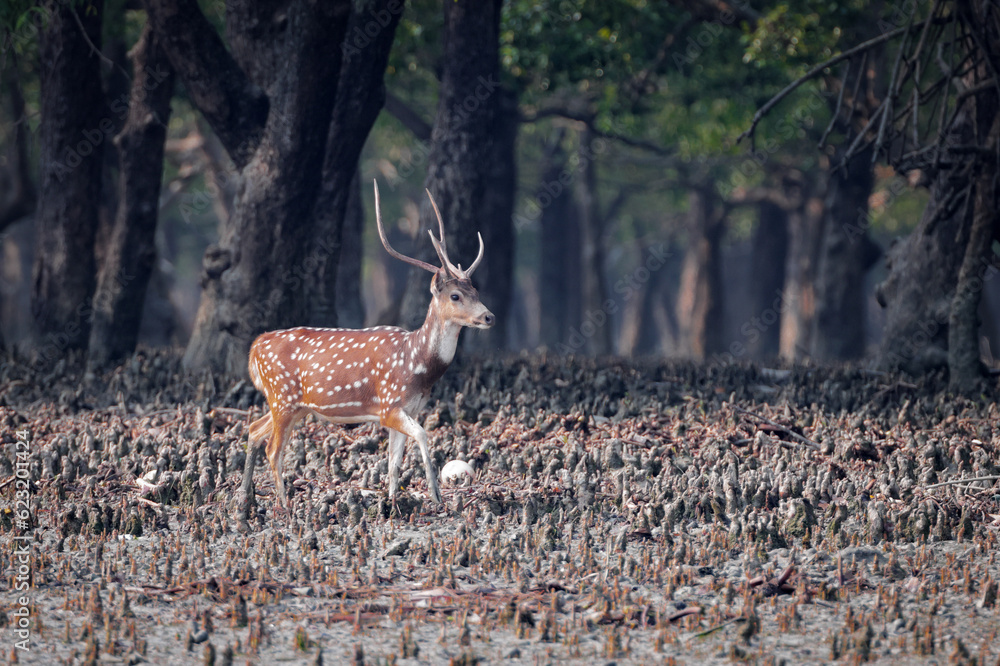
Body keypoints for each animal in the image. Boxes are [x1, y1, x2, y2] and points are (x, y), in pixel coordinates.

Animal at [241, 180, 494, 512]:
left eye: (475, 290)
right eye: (455, 296)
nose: (489, 316)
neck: (417, 364)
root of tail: (255, 348)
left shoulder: (409, 408)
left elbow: (394, 463)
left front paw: (392, 505)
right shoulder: (389, 404)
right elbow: (423, 435)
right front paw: (435, 495)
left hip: (292, 405)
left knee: (254, 430)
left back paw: (246, 497)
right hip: (282, 396)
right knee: (273, 449)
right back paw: (283, 506)